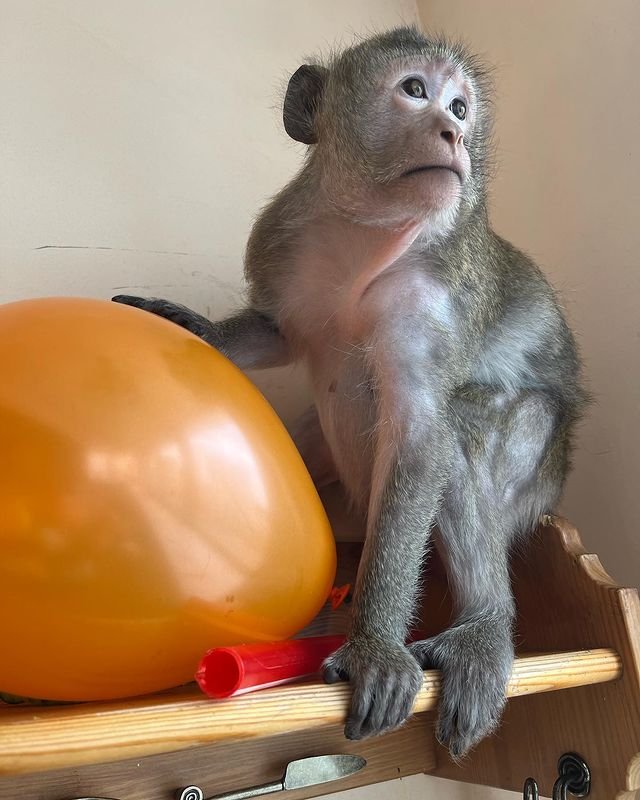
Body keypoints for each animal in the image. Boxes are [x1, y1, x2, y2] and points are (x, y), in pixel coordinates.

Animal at [113, 27, 587, 757]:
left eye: (460, 106)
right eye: (416, 90)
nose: (453, 131)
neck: (365, 240)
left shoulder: (431, 302)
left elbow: (421, 440)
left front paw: (374, 645)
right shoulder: (282, 242)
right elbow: (278, 333)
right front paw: (203, 330)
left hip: (535, 471)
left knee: (463, 428)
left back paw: (485, 627)